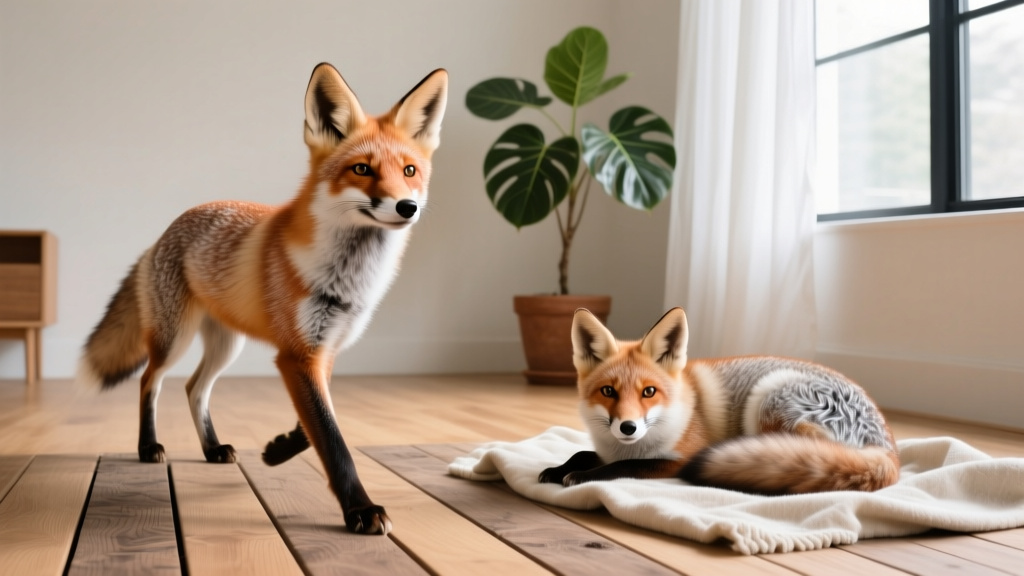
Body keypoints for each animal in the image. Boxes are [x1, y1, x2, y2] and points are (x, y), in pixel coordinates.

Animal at [75, 63, 449, 535]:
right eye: (362, 169)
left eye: (410, 171)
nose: (406, 207)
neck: (348, 278)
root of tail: (164, 233)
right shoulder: (297, 355)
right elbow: (332, 439)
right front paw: (360, 509)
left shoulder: (324, 350)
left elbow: (318, 423)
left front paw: (279, 448)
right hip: (174, 340)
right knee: (149, 381)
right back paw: (148, 446)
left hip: (226, 345)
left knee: (194, 389)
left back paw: (212, 449)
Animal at [539, 308, 900, 495]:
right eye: (608, 392)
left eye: (649, 392)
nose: (628, 428)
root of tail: (889, 448)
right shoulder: (605, 449)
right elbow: (582, 453)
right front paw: (558, 469)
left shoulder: (677, 459)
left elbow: (625, 466)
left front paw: (581, 477)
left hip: (767, 395)